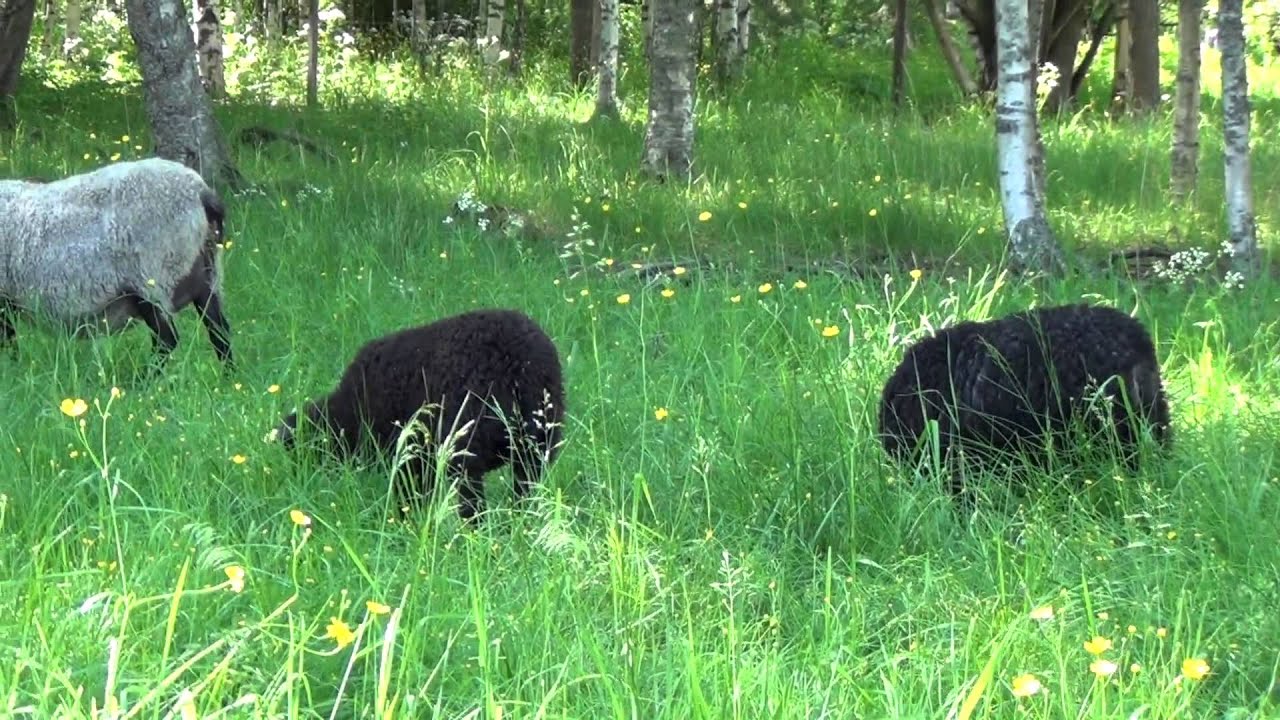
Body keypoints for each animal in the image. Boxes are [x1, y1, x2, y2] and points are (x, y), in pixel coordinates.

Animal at [0, 157, 232, 368]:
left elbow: (7, 343)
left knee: (167, 339)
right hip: (205, 273)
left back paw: (143, 381)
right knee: (219, 331)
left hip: (153, 277)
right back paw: (228, 377)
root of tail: (200, 191)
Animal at [274, 308, 567, 524]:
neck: (350, 411)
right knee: (524, 493)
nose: (302, 486)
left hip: (467, 446)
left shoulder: (412, 454)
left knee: (473, 503)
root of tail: (524, 366)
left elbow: (410, 496)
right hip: (537, 446)